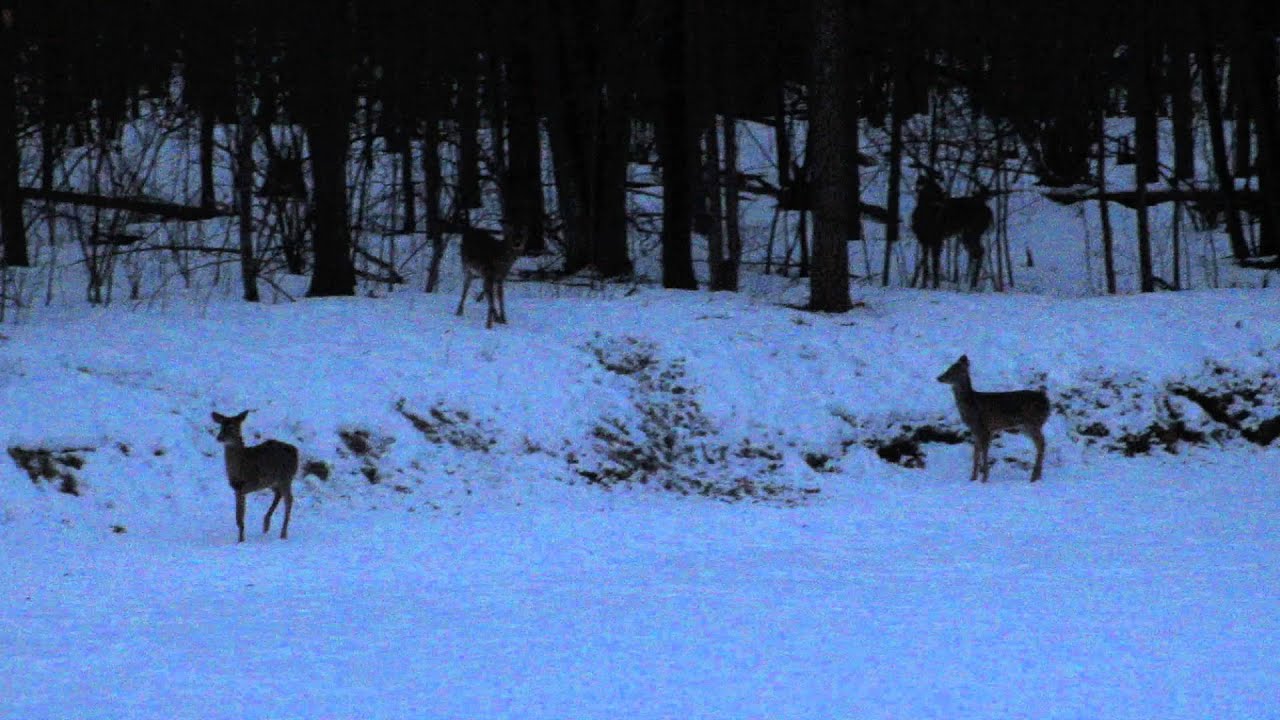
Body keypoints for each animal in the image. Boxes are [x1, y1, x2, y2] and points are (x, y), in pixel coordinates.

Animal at [211, 410, 298, 542]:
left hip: (286, 477)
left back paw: (283, 534)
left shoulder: (249, 484)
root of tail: (296, 451)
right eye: (221, 426)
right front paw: (241, 539)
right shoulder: (236, 489)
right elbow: (238, 517)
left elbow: (240, 516)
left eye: (232, 427)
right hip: (274, 481)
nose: (219, 437)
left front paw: (241, 540)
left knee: (289, 499)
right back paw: (266, 525)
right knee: (279, 494)